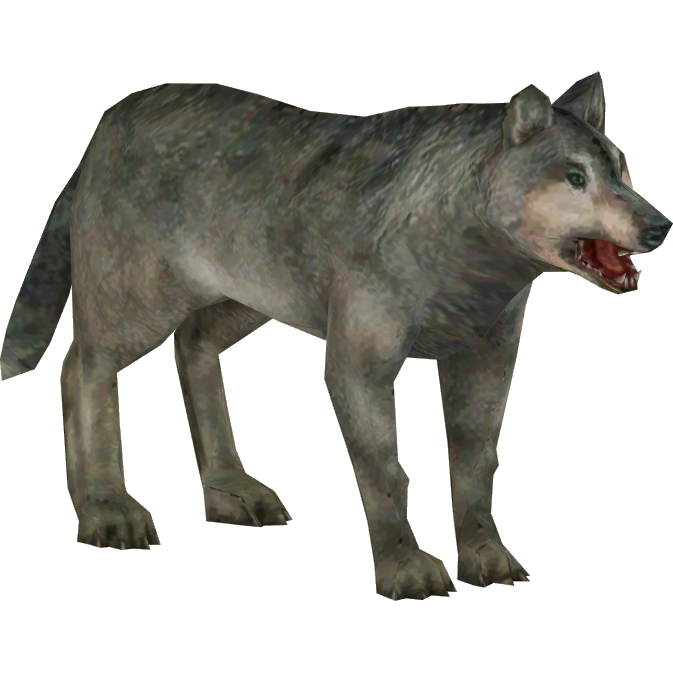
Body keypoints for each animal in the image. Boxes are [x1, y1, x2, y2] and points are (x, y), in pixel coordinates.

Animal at [1, 73, 669, 600]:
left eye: (622, 167)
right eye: (575, 176)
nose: (658, 225)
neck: (477, 263)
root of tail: (114, 115)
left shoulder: (484, 357)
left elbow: (476, 462)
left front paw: (488, 559)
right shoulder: (360, 359)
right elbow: (383, 467)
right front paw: (407, 571)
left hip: (247, 297)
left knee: (192, 346)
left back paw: (231, 491)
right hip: (139, 301)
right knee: (82, 365)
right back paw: (106, 510)